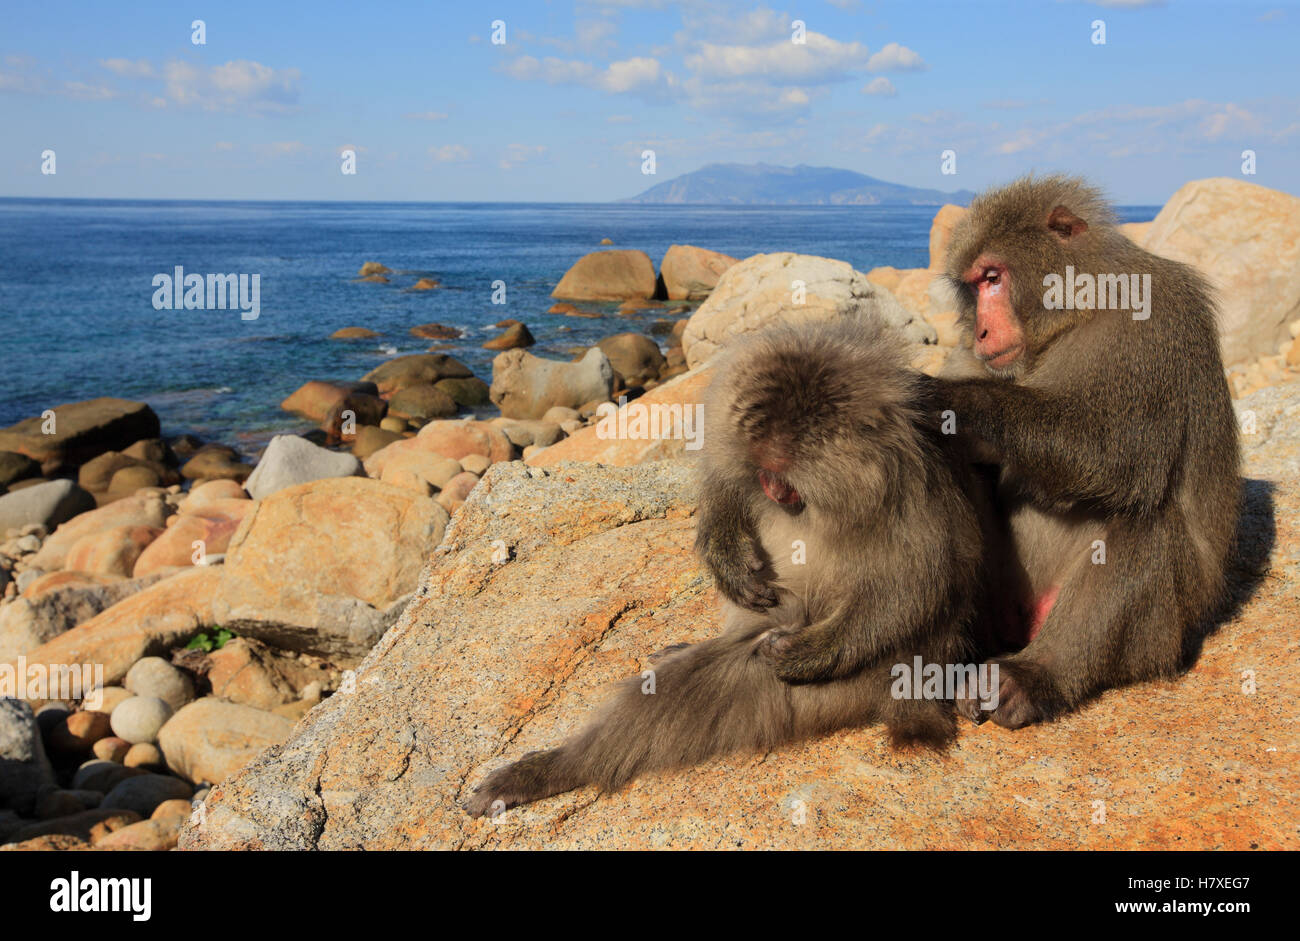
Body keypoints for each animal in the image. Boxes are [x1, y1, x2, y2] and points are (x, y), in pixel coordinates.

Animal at [464, 317, 989, 816]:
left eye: (784, 474)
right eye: (763, 469)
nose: (771, 490)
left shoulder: (908, 497)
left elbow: (913, 588)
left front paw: (807, 654)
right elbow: (727, 492)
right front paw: (726, 554)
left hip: (842, 689)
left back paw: (556, 768)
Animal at [912, 173, 1240, 730]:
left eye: (993, 278)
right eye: (973, 288)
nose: (979, 331)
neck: (1083, 309)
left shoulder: (1146, 333)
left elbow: (1116, 454)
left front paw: (949, 401)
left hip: (1157, 643)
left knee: (1142, 522)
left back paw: (1035, 677)